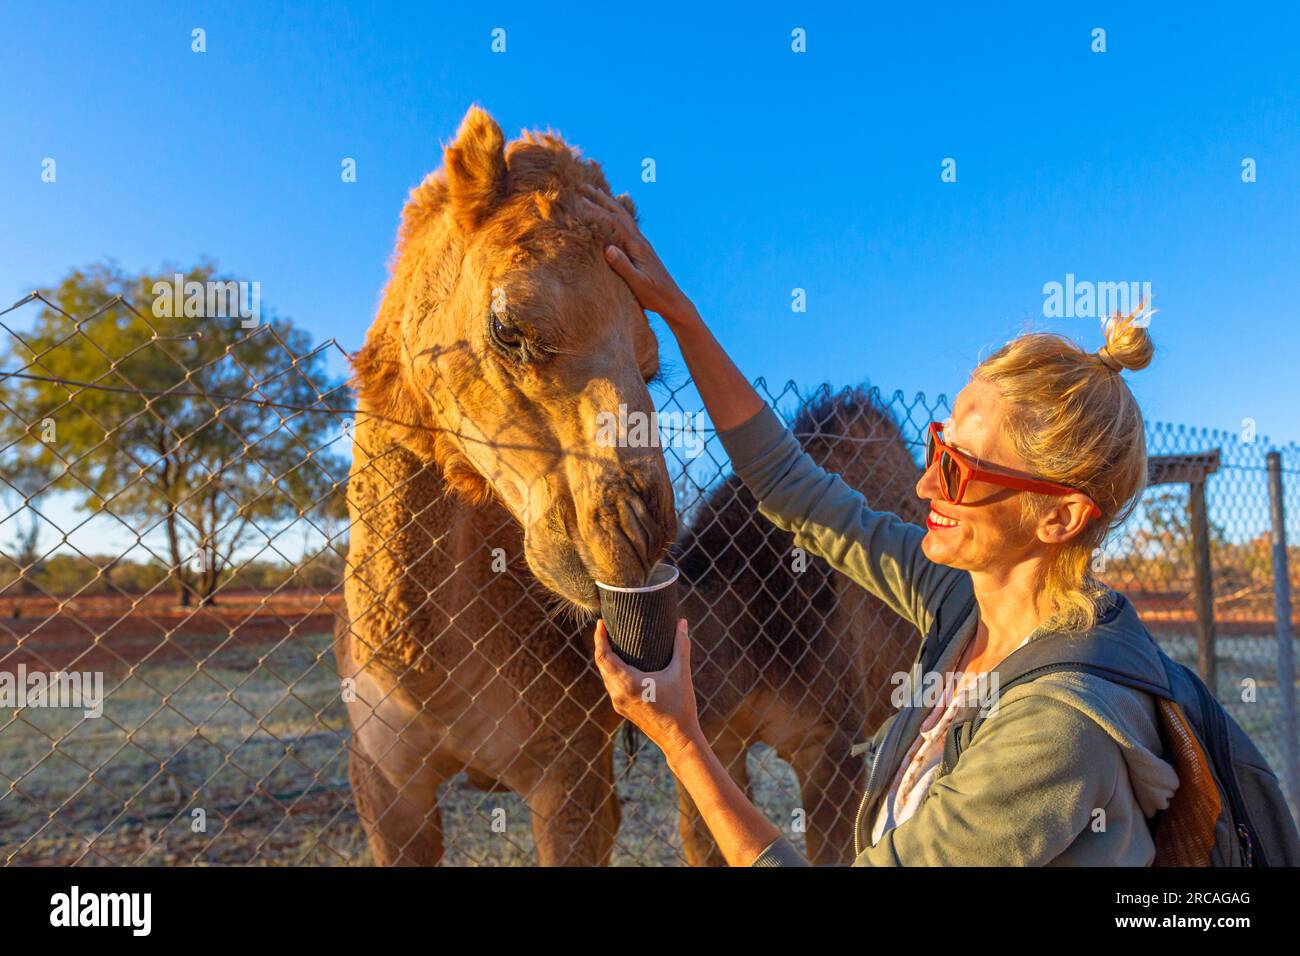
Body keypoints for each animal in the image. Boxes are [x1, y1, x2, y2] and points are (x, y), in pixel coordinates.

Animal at [335, 105, 923, 865]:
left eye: (652, 366)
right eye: (507, 327)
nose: (638, 534)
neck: (431, 681)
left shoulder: (580, 776)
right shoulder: (383, 782)